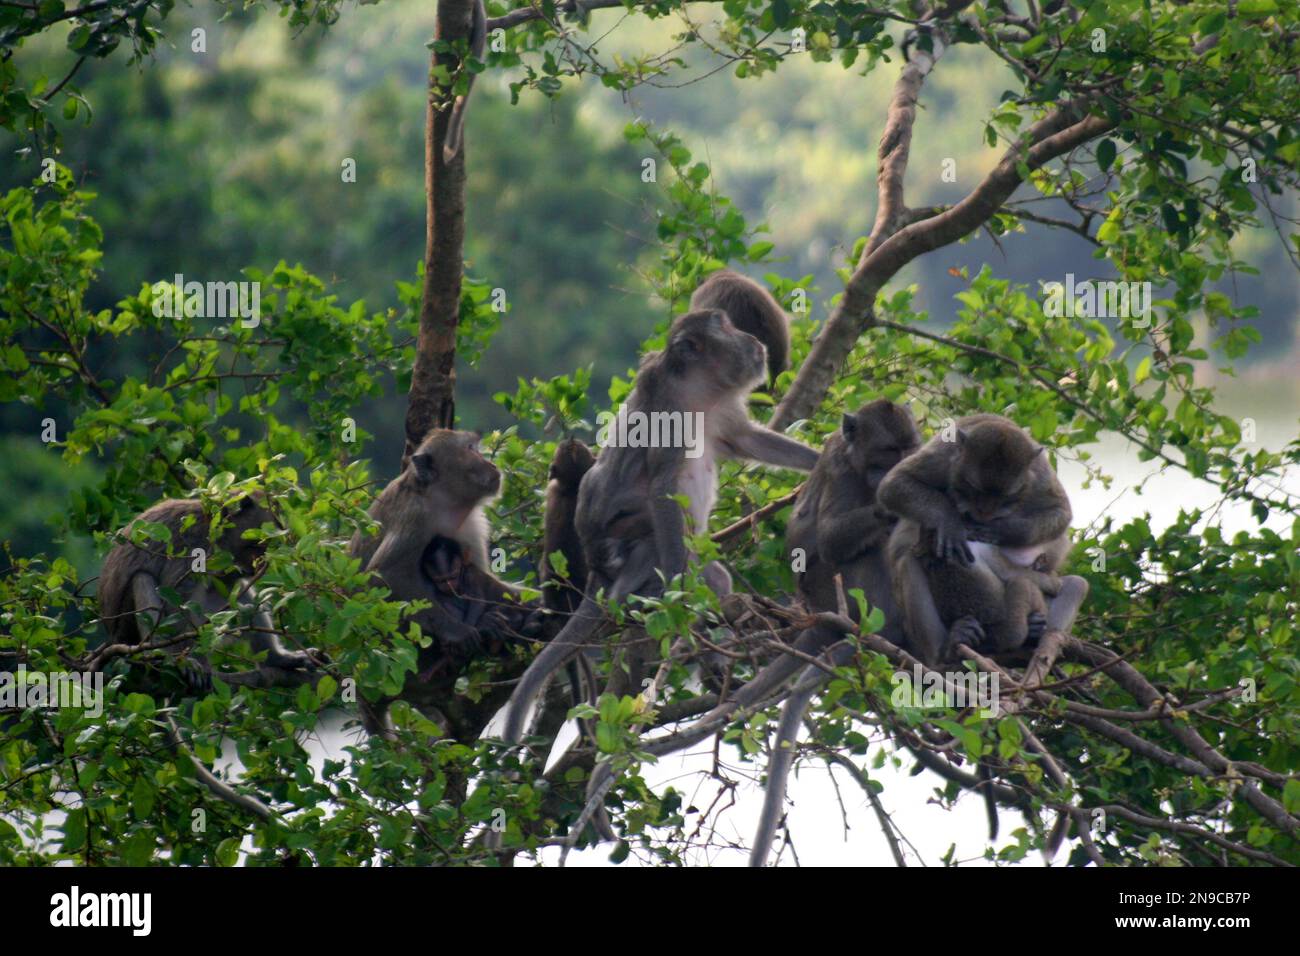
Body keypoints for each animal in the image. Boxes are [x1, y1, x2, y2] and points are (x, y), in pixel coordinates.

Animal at [97, 495, 318, 689]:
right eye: (259, 541)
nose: (262, 563)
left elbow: (231, 586)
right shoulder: (194, 549)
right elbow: (175, 599)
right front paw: (188, 661)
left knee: (239, 596)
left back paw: (276, 659)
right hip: (126, 630)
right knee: (142, 578)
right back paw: (160, 656)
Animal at [500, 308, 820, 748]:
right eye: (726, 325)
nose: (753, 340)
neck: (699, 392)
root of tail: (598, 577)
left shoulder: (724, 410)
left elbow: (747, 440)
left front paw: (830, 459)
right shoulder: (670, 420)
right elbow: (664, 490)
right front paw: (677, 594)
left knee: (715, 578)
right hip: (624, 558)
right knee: (663, 544)